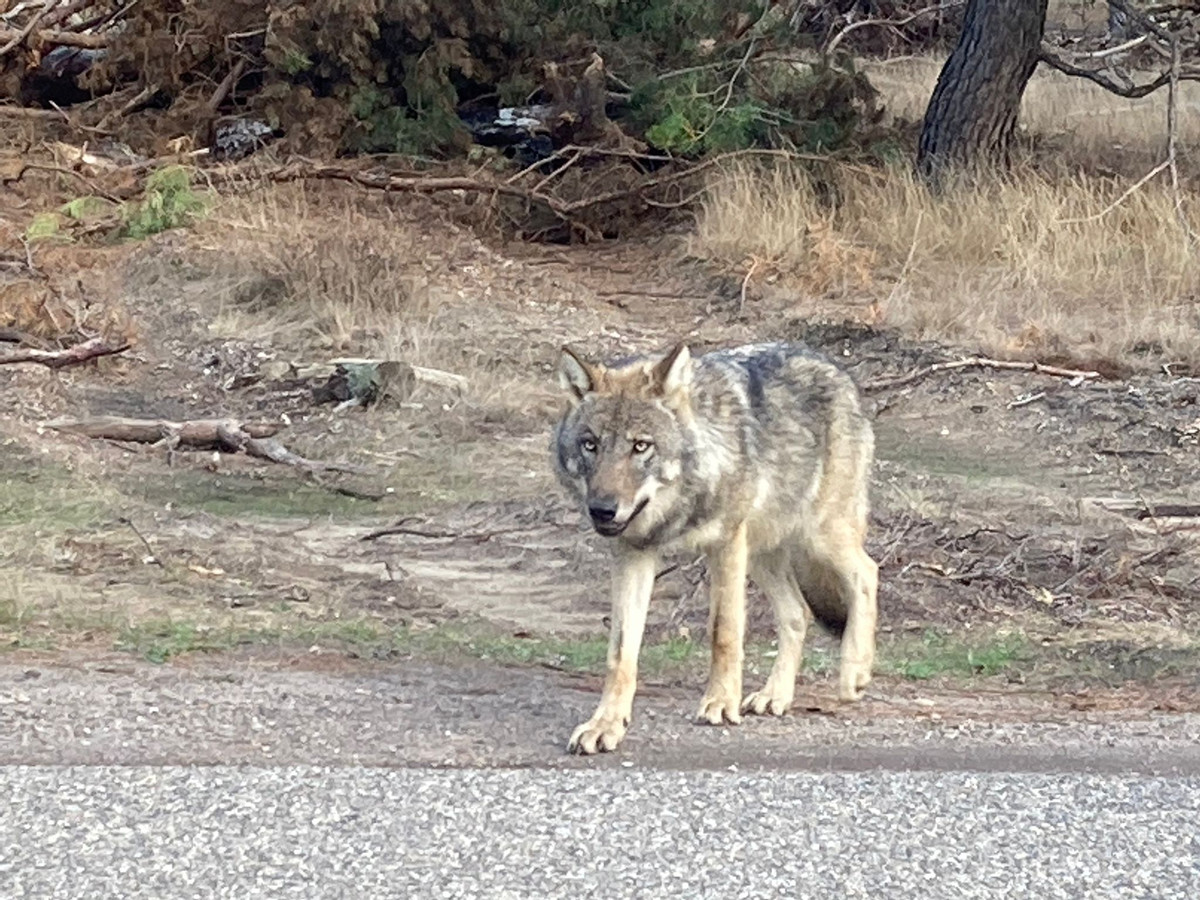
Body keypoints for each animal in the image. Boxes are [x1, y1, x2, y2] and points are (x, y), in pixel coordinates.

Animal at [553, 341, 878, 754]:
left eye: (641, 446)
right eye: (590, 445)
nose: (602, 510)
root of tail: (837, 368)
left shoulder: (725, 543)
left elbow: (724, 631)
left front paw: (721, 703)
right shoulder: (633, 553)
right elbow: (620, 653)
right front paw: (606, 724)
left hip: (818, 536)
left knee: (867, 572)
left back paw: (855, 673)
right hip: (763, 553)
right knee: (797, 613)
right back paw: (775, 695)